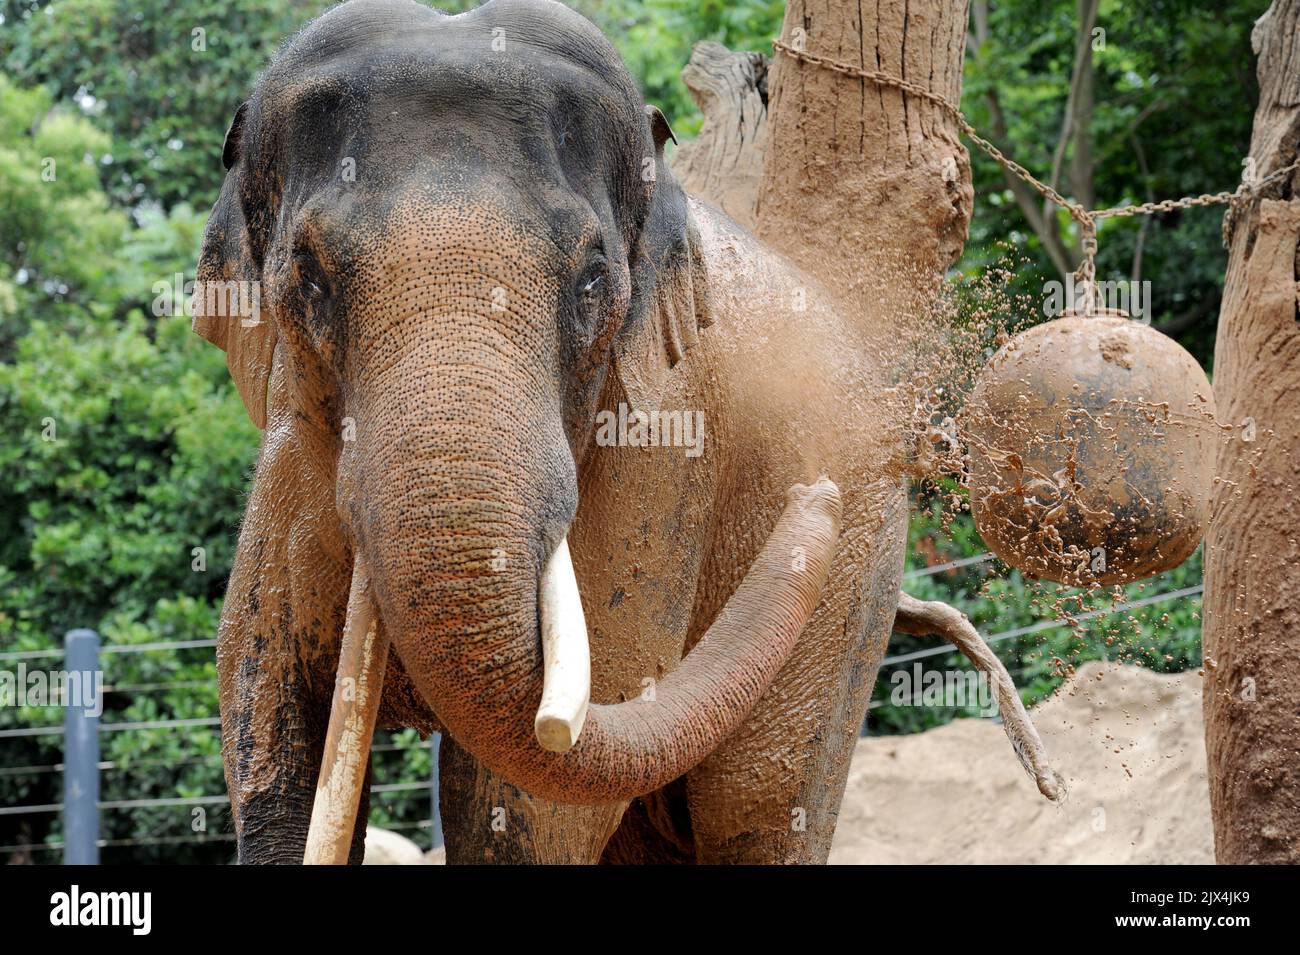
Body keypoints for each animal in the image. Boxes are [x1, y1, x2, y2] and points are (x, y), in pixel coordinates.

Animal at [194, 0, 1054, 865]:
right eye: (308, 276)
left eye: (591, 281)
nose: (815, 496)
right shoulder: (292, 448)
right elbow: (262, 706)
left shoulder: (662, 453)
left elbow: (544, 781)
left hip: (856, 580)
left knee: (759, 804)